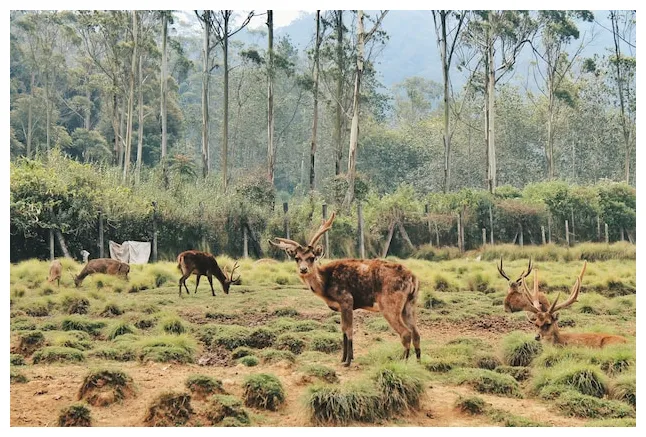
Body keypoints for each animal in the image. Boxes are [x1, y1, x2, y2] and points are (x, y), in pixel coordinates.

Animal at [268, 212, 421, 367]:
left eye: (312, 257)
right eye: (297, 258)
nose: (303, 269)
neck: (325, 284)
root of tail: (413, 278)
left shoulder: (346, 299)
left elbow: (349, 329)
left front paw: (348, 361)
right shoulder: (341, 305)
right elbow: (343, 329)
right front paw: (342, 358)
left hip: (389, 303)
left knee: (406, 333)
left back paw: (403, 362)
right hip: (409, 304)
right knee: (416, 333)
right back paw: (418, 362)